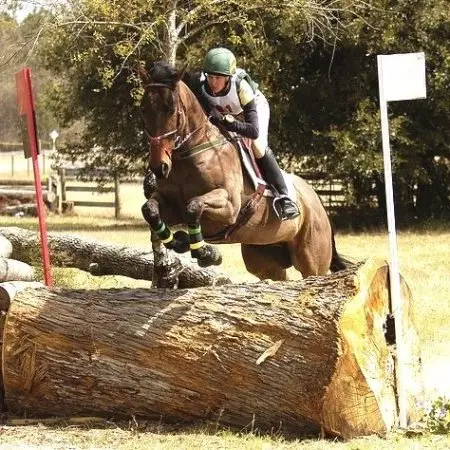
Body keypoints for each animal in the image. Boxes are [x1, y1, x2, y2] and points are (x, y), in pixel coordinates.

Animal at [139, 61, 346, 282]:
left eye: (171, 109)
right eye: (143, 110)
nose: (158, 167)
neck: (193, 153)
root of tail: (317, 201)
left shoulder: (229, 207)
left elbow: (194, 206)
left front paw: (206, 253)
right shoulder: (171, 206)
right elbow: (149, 210)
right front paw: (178, 241)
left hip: (311, 261)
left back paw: (287, 206)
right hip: (264, 258)